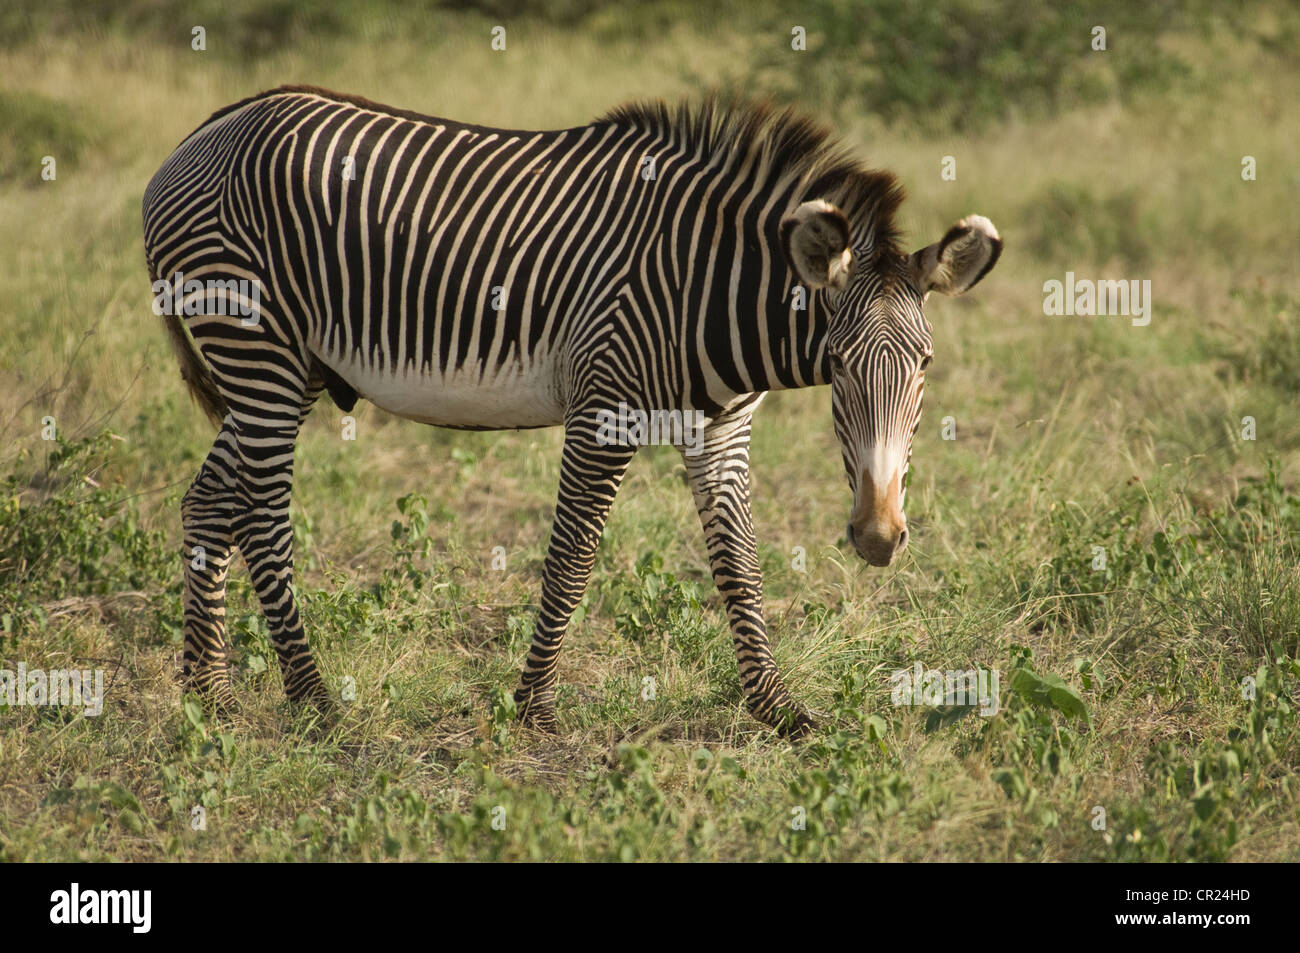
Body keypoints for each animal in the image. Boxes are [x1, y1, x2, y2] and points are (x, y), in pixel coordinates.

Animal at [142, 86, 1001, 737]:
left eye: (925, 367)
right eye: (839, 364)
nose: (879, 537)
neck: (705, 285)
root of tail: (200, 136)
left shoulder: (724, 425)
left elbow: (741, 562)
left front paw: (778, 708)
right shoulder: (604, 406)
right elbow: (573, 556)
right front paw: (534, 708)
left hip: (287, 369)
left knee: (208, 500)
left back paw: (207, 694)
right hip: (259, 349)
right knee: (261, 513)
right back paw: (312, 695)